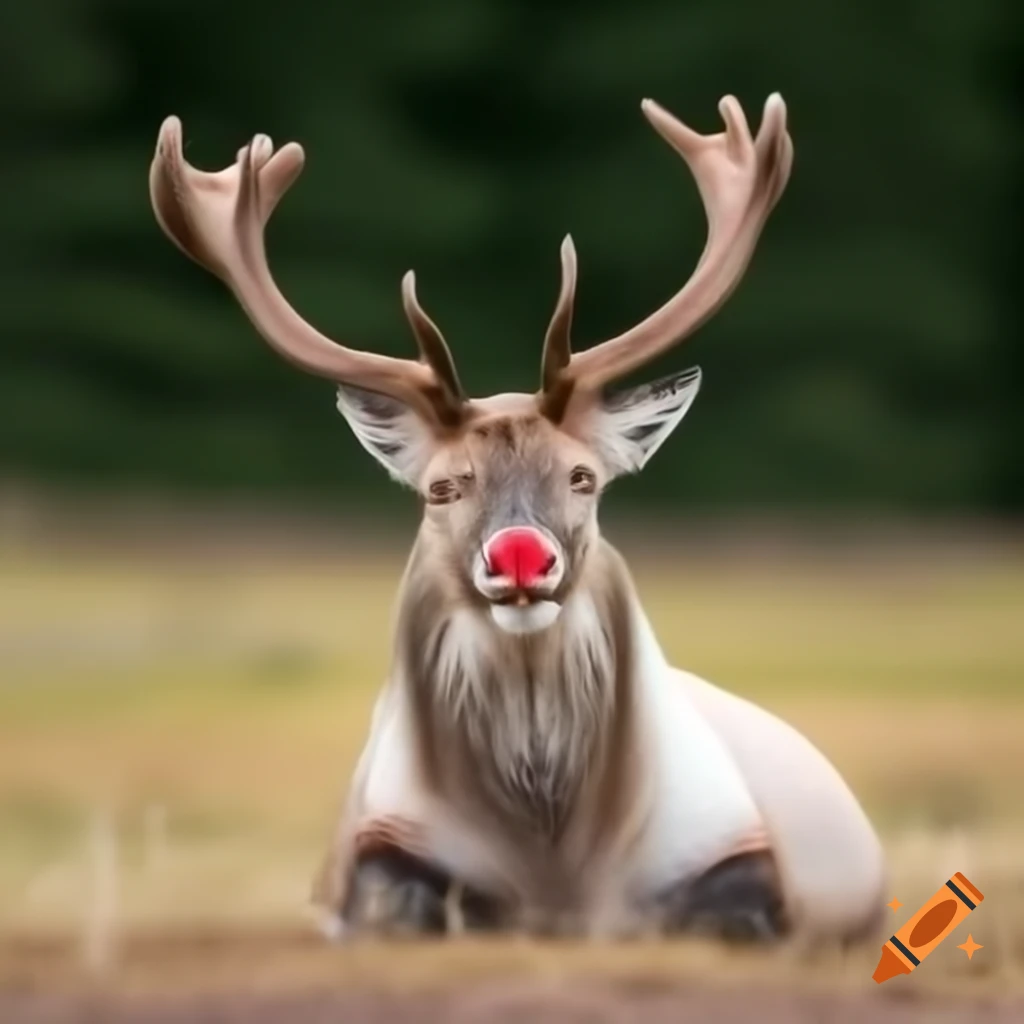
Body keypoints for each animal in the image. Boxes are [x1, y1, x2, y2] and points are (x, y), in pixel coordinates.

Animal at [149, 92, 887, 946]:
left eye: (584, 477)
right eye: (441, 488)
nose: (523, 558)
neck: (555, 860)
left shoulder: (743, 850)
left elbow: (719, 916)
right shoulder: (380, 844)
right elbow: (397, 905)